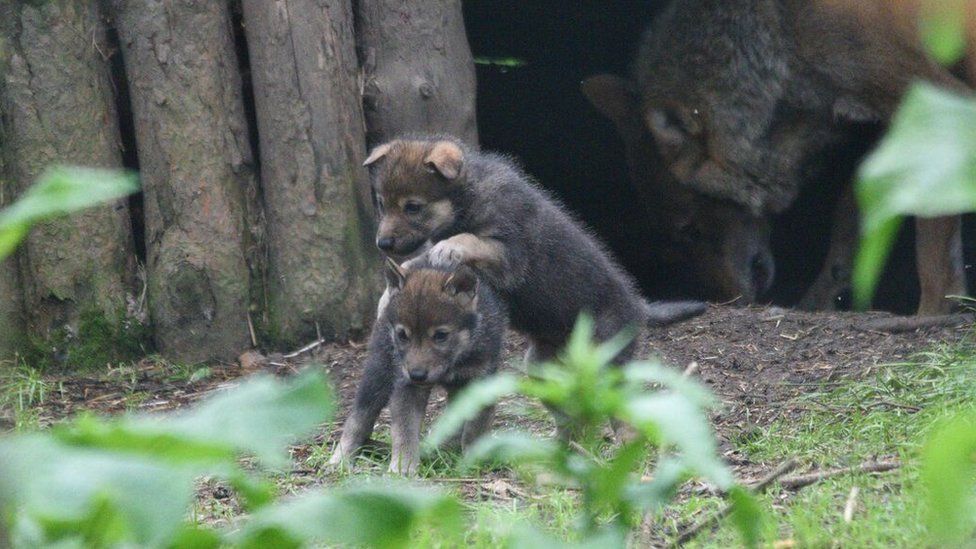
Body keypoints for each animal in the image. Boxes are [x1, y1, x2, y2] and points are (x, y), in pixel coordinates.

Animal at [329, 258, 506, 475]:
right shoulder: (406, 387)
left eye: (441, 335)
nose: (417, 375)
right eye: (403, 335)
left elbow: (476, 426)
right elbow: (405, 431)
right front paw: (402, 469)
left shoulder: (481, 381)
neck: (455, 360)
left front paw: (475, 457)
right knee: (359, 417)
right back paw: (340, 458)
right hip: (378, 373)